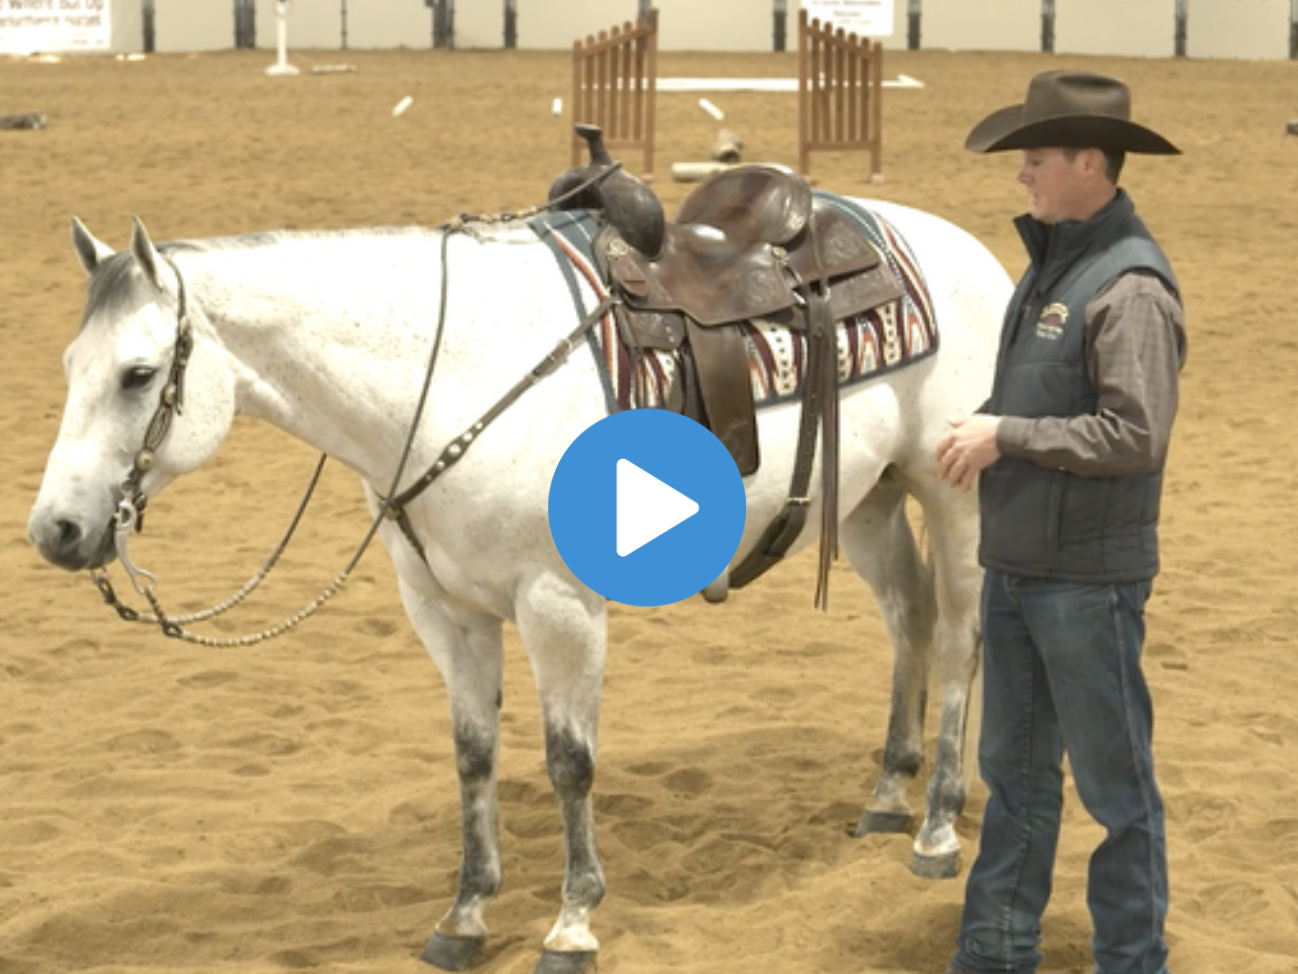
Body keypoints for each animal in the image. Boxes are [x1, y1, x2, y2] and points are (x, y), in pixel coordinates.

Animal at [27, 199, 1011, 974]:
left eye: (139, 375)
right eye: (70, 366)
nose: (55, 530)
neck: (454, 378)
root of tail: (969, 250)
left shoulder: (558, 605)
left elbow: (568, 760)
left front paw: (572, 924)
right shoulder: (446, 613)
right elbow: (474, 755)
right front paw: (465, 915)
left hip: (956, 495)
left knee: (959, 637)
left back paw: (937, 827)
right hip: (869, 500)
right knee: (909, 619)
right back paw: (887, 794)